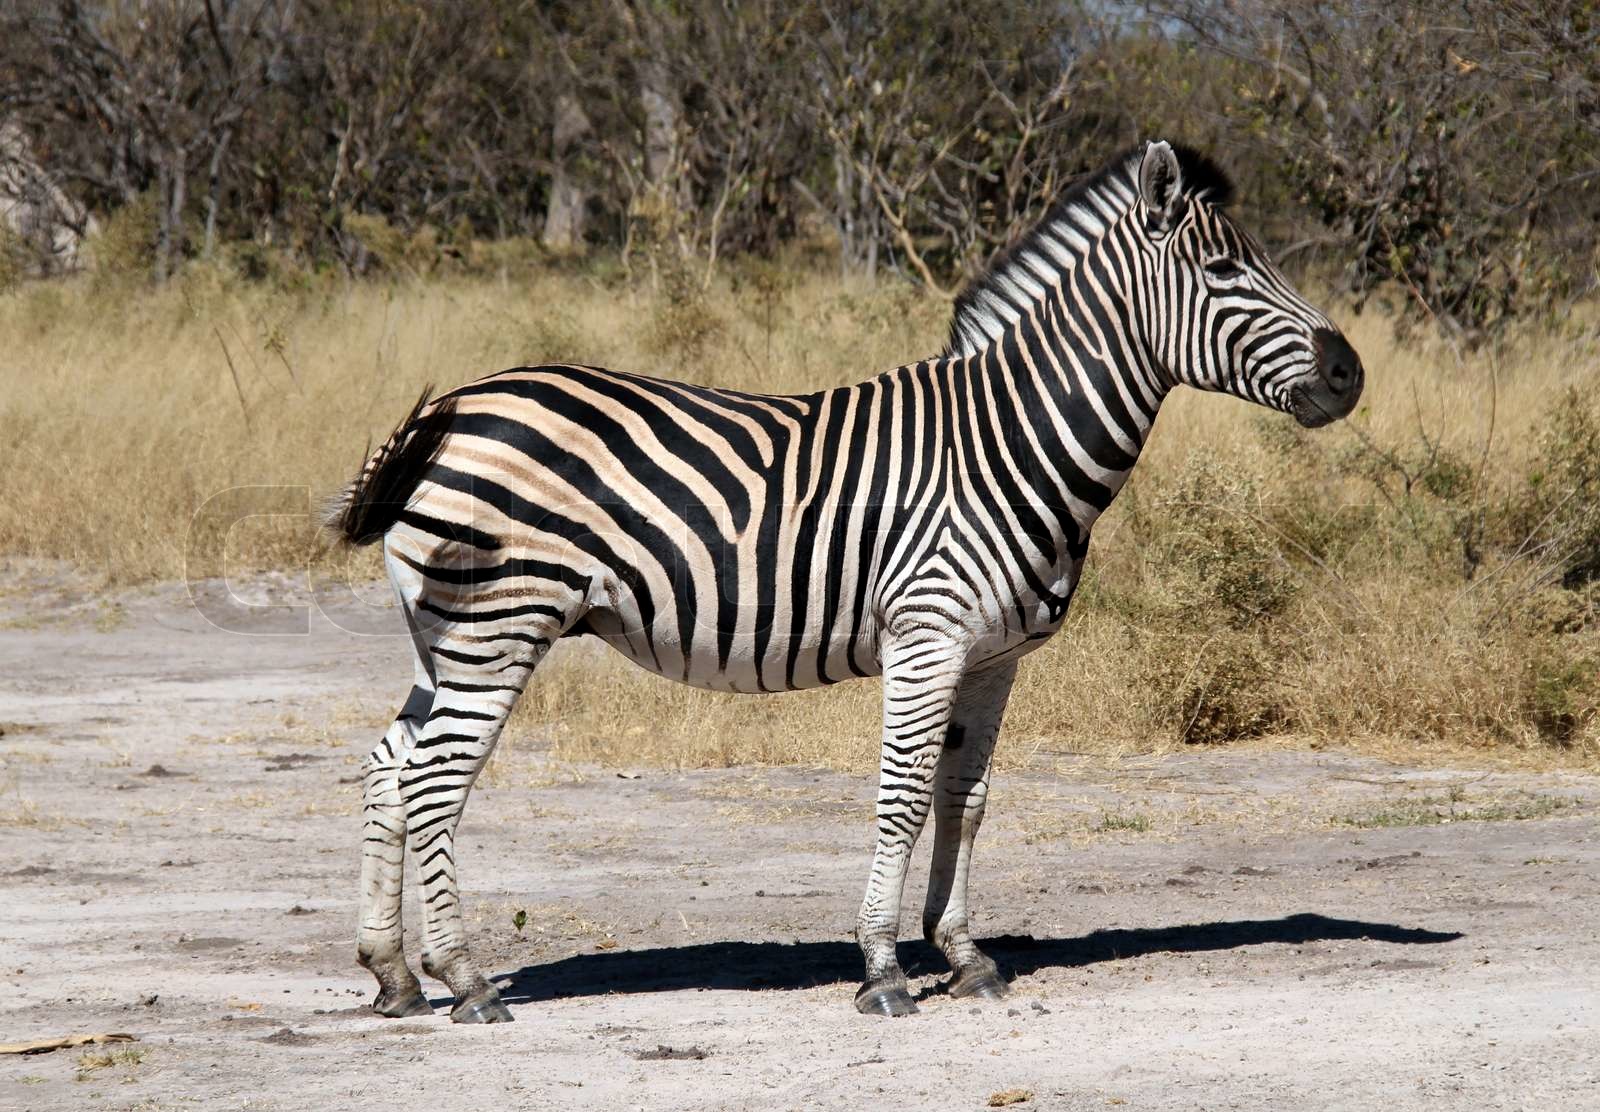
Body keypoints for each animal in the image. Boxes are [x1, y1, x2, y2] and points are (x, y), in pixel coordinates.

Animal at [327, 140, 1364, 1024]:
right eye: (1223, 271)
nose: (1350, 373)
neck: (1008, 443)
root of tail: (455, 406)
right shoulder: (928, 633)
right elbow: (901, 794)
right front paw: (882, 968)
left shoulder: (995, 656)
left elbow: (965, 796)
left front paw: (963, 956)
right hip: (500, 624)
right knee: (434, 778)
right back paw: (465, 980)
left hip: (444, 635)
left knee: (389, 766)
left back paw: (392, 976)